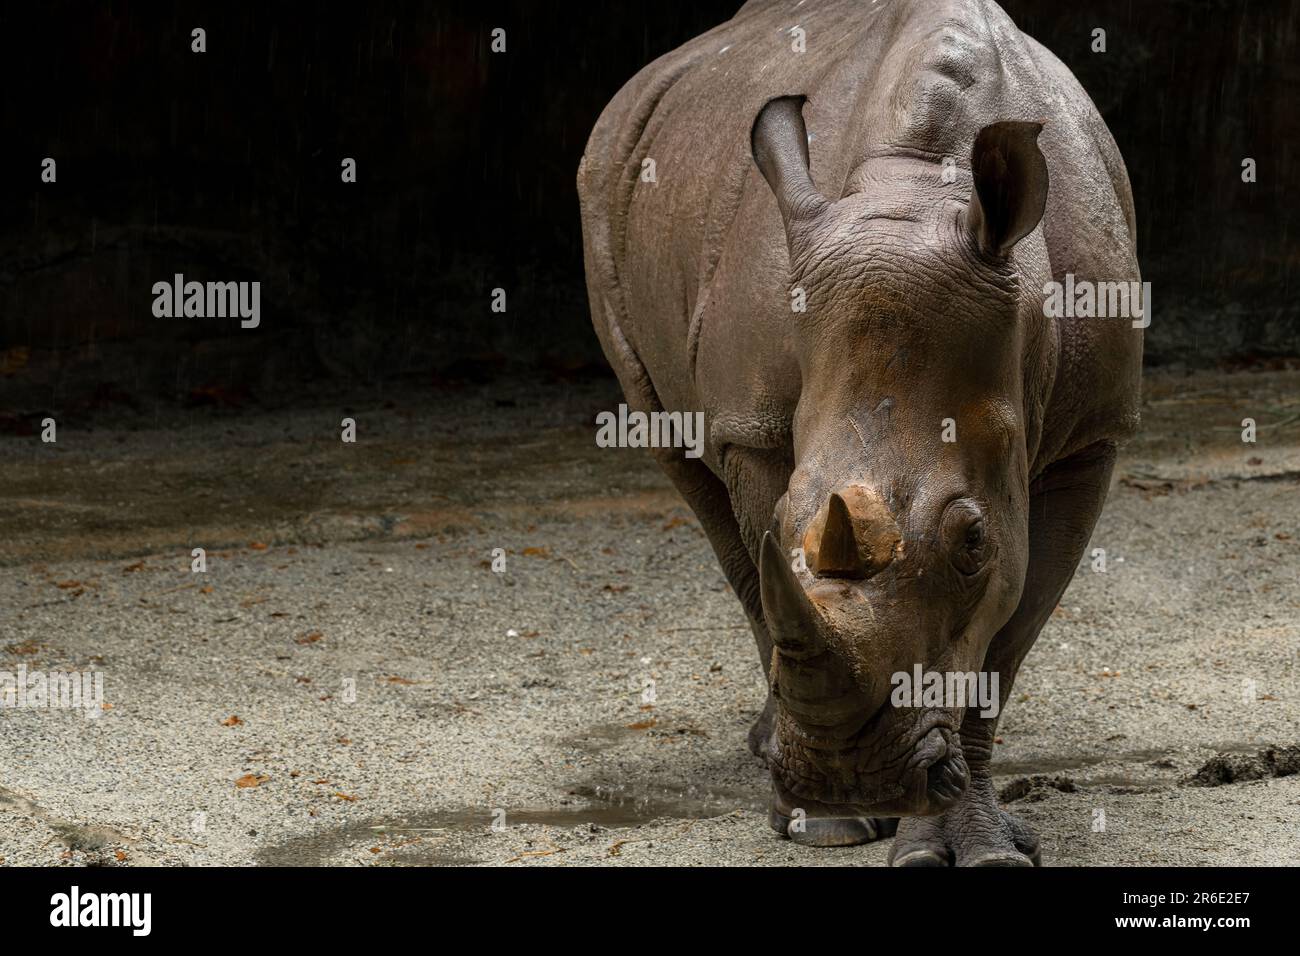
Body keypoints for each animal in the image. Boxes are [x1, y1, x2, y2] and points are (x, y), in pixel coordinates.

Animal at [578, 0, 1142, 865]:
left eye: (973, 541)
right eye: (788, 516)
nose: (852, 777)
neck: (919, 189)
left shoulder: (1091, 437)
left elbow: (1001, 646)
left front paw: (975, 849)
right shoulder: (755, 425)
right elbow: (768, 556)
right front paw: (831, 819)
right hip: (610, 165)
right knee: (690, 476)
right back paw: (800, 792)